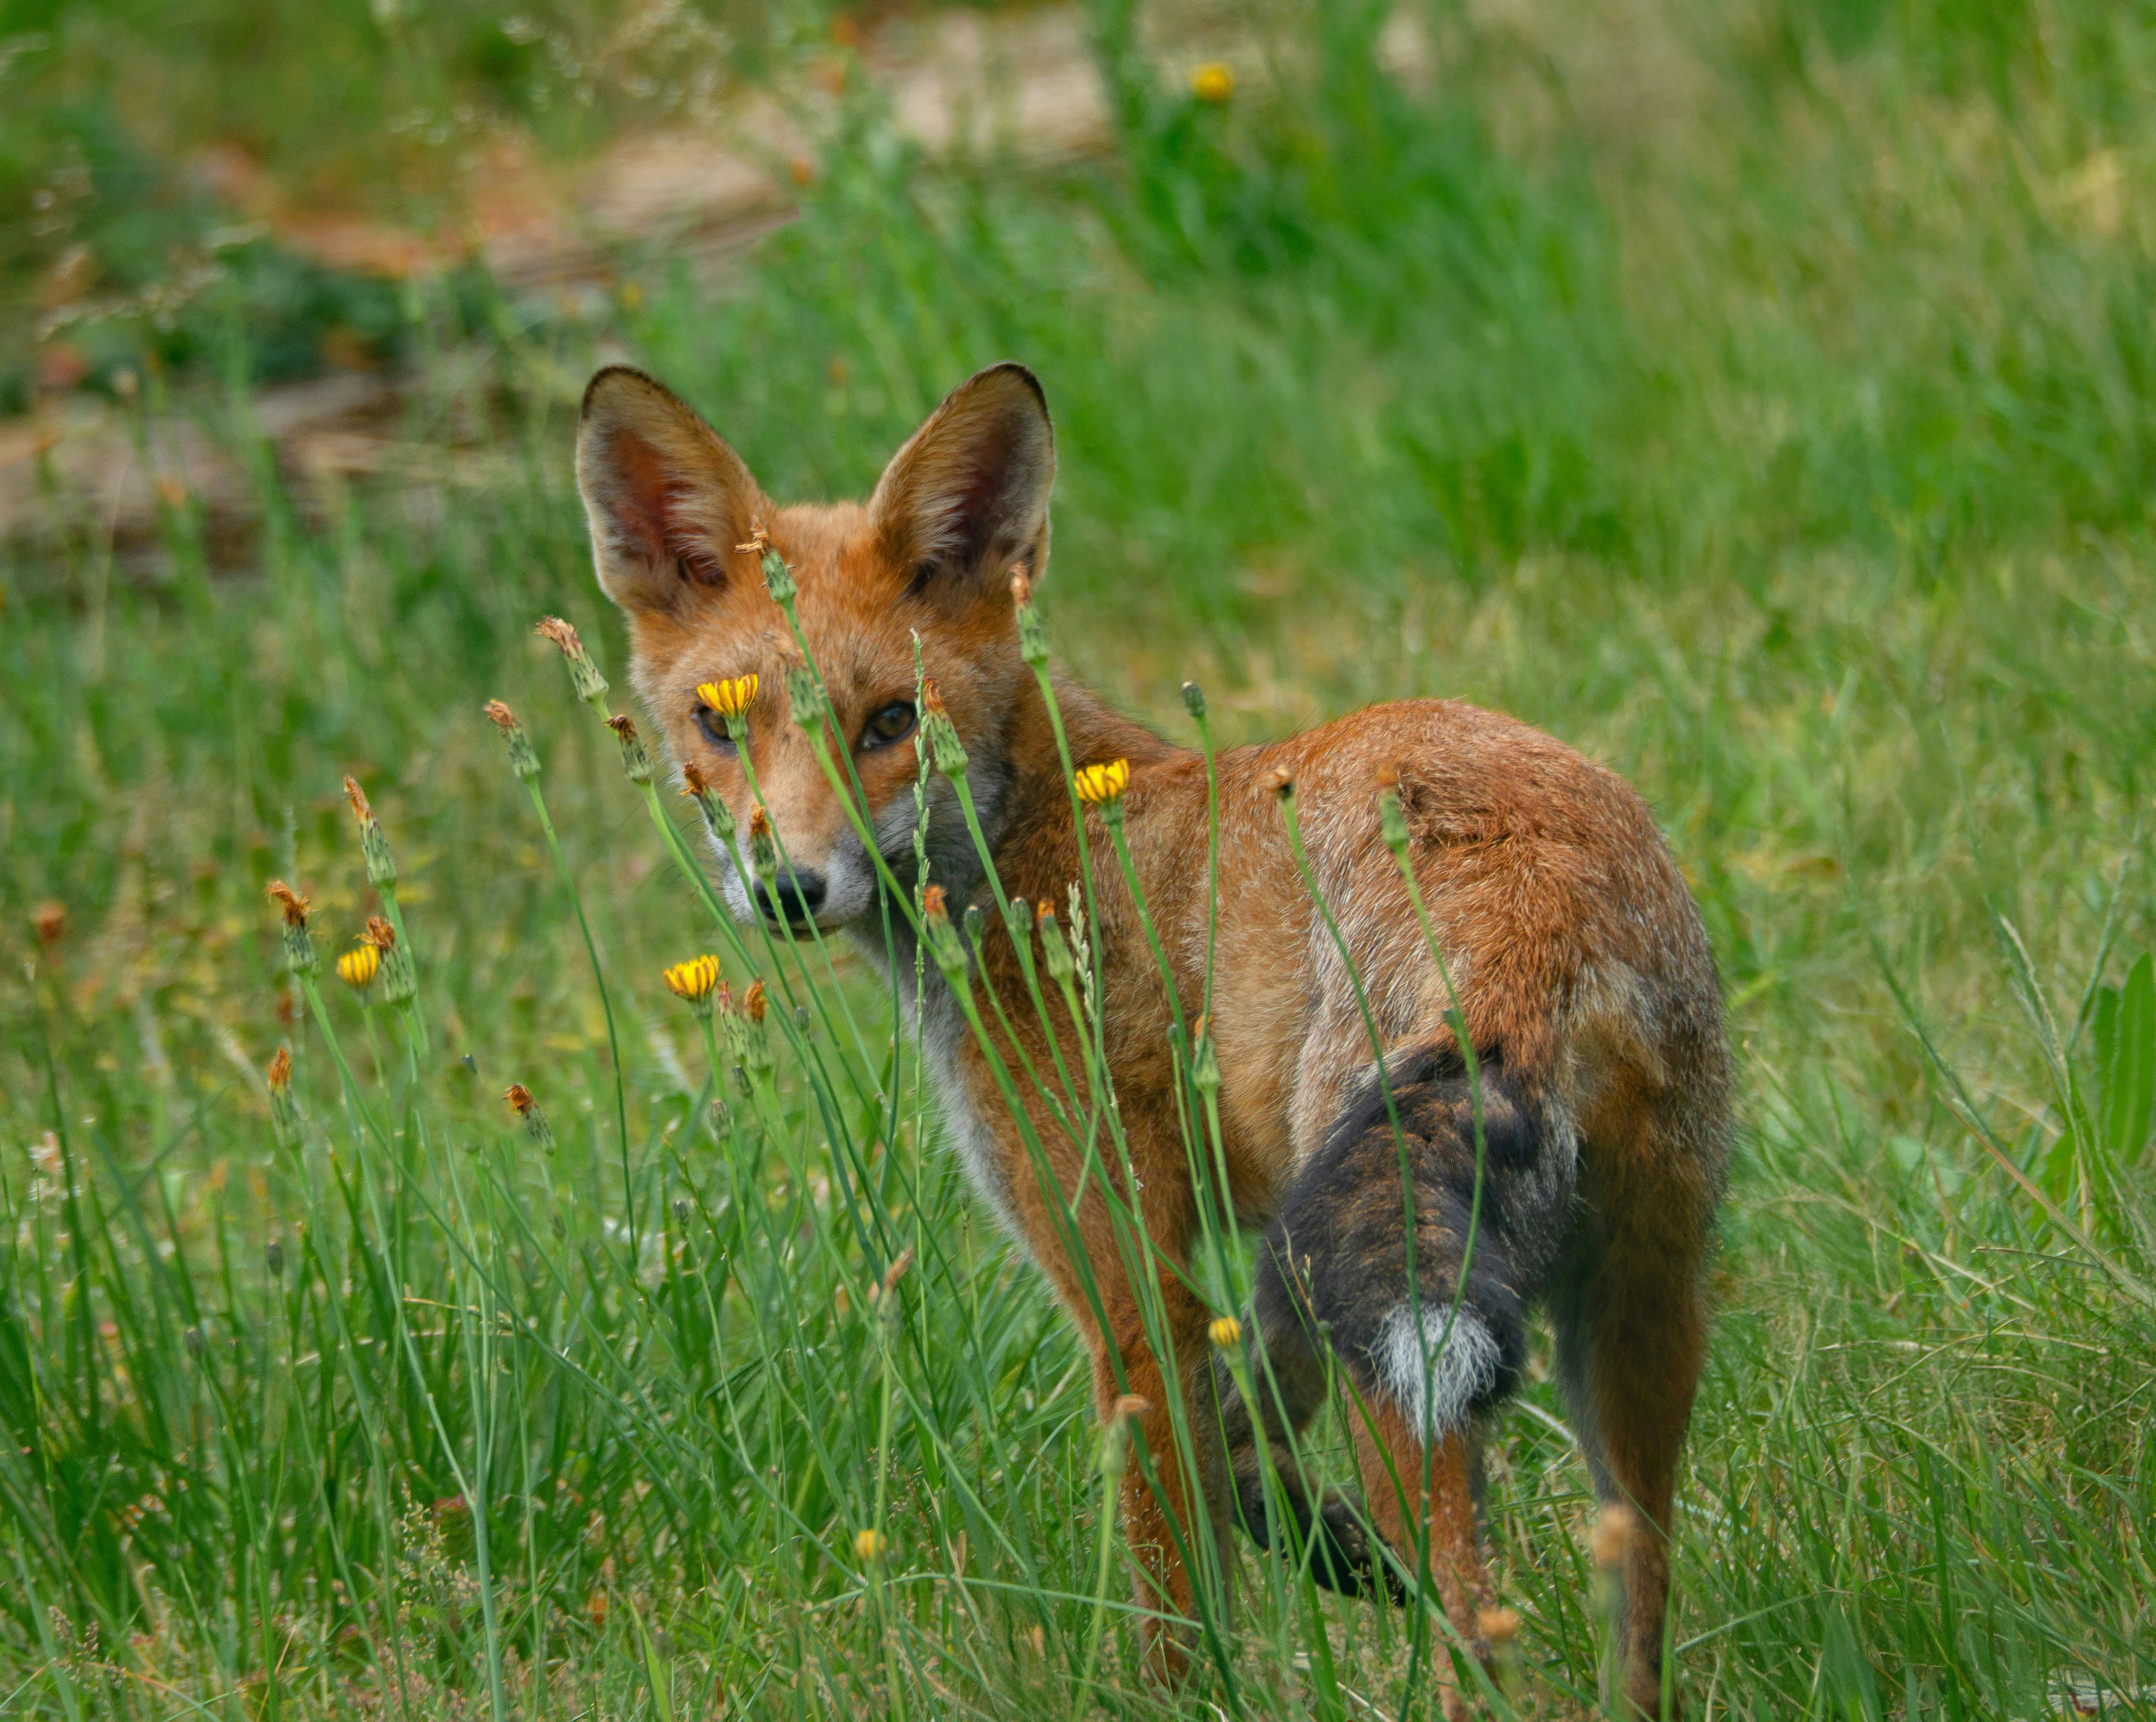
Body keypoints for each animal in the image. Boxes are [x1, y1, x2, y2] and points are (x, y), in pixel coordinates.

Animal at [574, 359, 1730, 1717]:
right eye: (720, 726)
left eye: (887, 722)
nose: (790, 889)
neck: (1038, 844)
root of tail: (1536, 890)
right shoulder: (1268, 1263)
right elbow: (1238, 1436)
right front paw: (1314, 1534)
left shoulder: (1126, 1273)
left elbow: (1173, 1585)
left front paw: (1201, 1673)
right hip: (1626, 1326)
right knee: (1639, 1613)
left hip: (1412, 1362)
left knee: (1472, 1631)